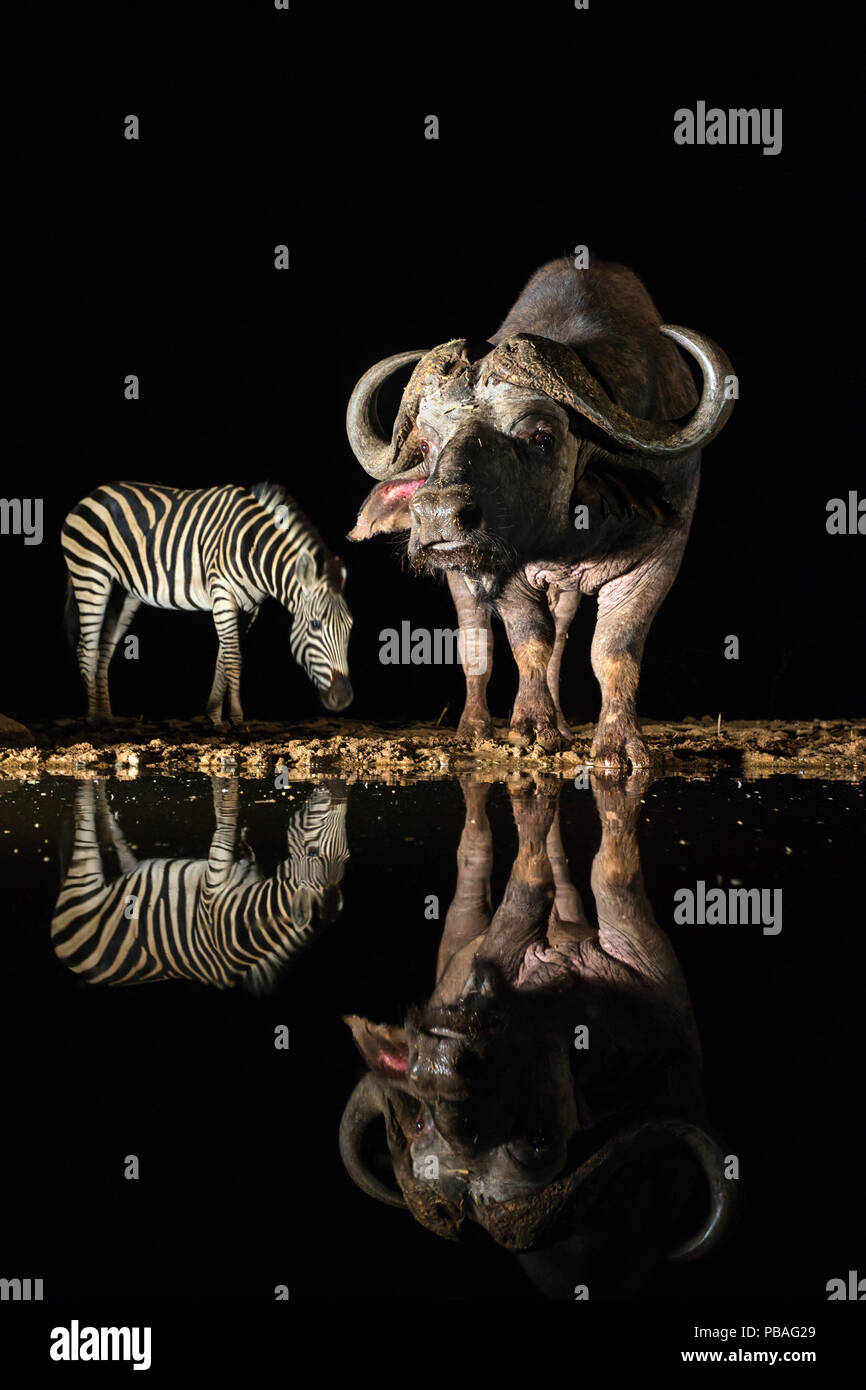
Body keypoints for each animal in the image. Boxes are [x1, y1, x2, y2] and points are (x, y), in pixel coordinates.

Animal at [51, 777, 350, 993]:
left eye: (344, 856)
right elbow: (228, 817)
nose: (340, 790)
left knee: (89, 826)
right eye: (314, 852)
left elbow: (227, 817)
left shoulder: (213, 882)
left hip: (83, 880)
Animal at [61, 481, 353, 726]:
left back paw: (107, 717)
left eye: (350, 628)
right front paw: (236, 719)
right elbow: (234, 658)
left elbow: (223, 658)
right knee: (87, 647)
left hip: (122, 593)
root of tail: (93, 494)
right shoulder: (223, 593)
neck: (254, 550)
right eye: (315, 625)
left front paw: (214, 717)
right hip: (91, 575)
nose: (344, 697)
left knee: (104, 647)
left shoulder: (249, 608)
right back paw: (92, 719)